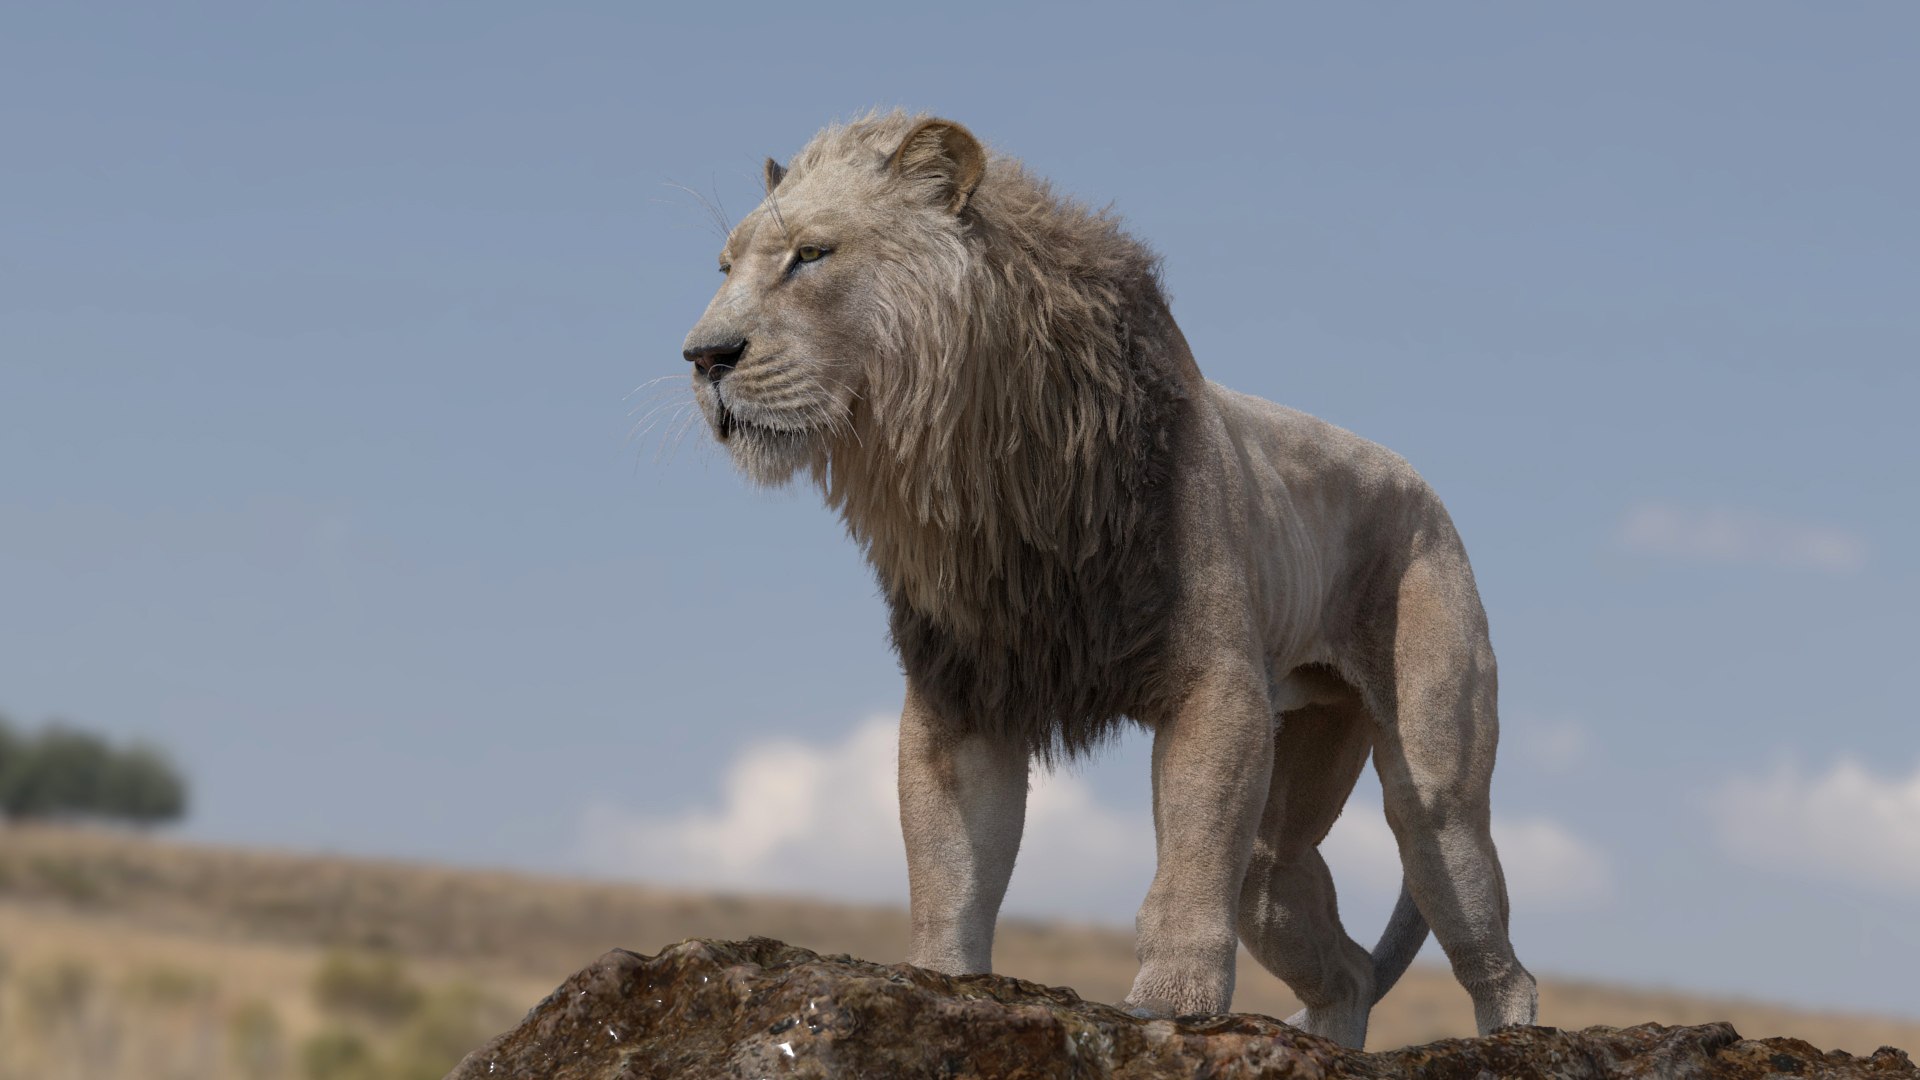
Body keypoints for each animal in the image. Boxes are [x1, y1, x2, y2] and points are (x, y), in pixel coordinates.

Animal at [678, 111, 1537, 1048]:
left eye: (811, 254)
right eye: (725, 268)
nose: (703, 356)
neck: (984, 478)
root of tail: (1417, 478)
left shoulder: (1215, 687)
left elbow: (1189, 860)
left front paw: (1174, 1003)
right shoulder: (959, 701)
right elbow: (950, 875)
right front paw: (940, 987)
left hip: (1436, 771)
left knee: (1481, 924)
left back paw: (1510, 1034)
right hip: (1289, 810)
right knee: (1318, 935)